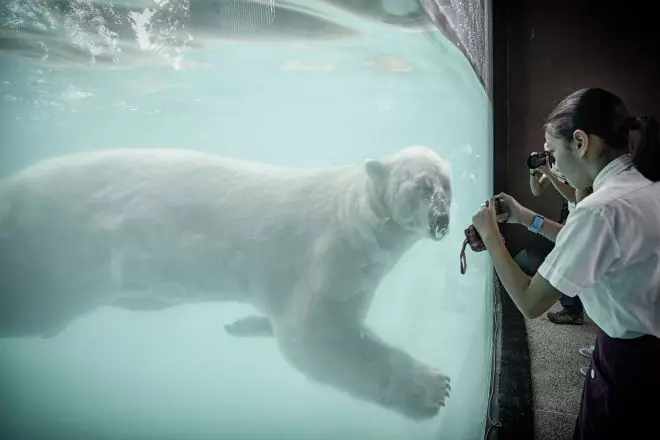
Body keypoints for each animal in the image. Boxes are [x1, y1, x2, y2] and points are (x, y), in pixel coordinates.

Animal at [0, 146, 452, 422]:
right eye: (422, 185)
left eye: (447, 184)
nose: (442, 220)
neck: (355, 211)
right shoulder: (330, 256)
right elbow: (315, 337)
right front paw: (431, 388)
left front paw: (244, 325)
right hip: (47, 261)